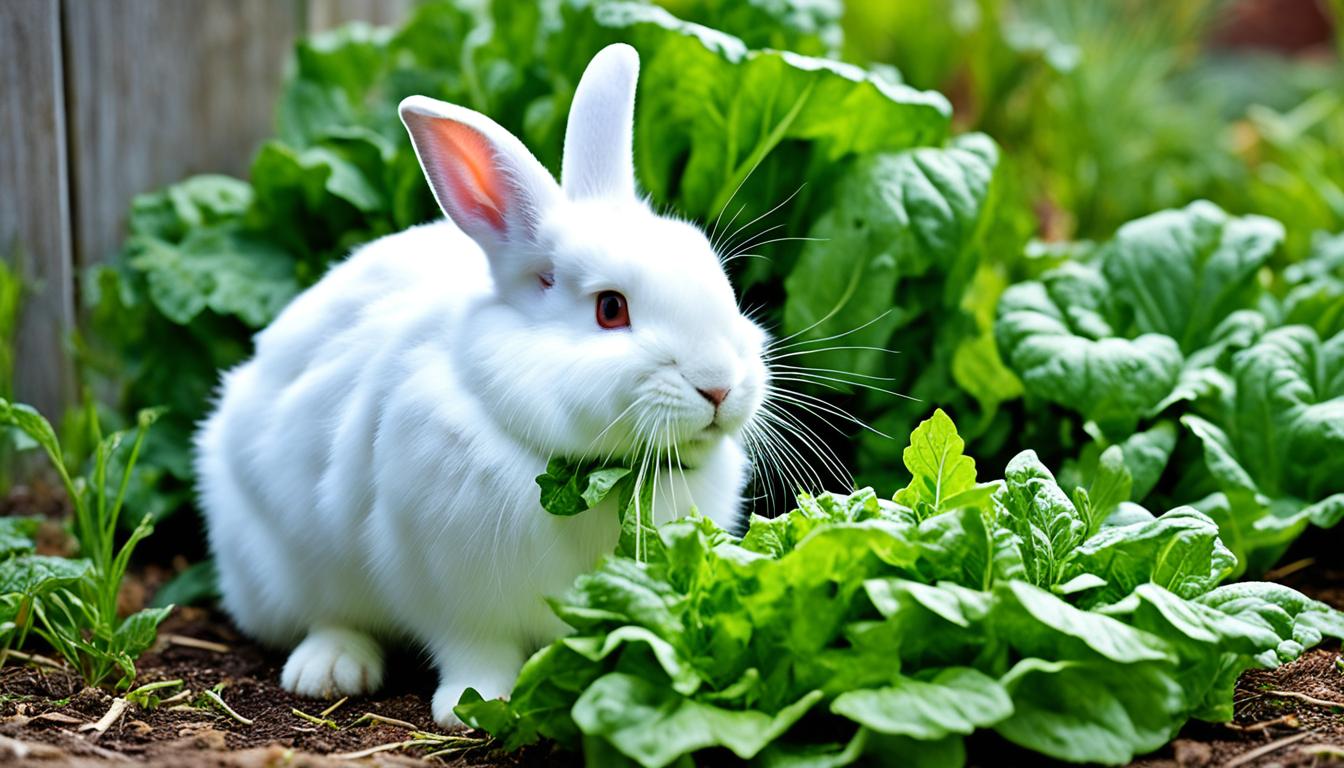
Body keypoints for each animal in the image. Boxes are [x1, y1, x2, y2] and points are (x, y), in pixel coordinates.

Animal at [194, 43, 769, 726]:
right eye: (610, 309)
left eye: (717, 280)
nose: (720, 387)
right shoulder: (454, 589)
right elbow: (475, 650)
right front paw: (474, 706)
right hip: (280, 564)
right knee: (327, 614)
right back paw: (329, 671)